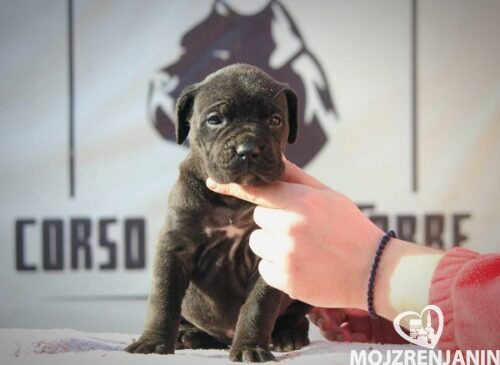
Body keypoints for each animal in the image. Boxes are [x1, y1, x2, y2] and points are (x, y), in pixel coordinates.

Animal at [126, 63, 308, 362]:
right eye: (214, 120)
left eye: (275, 120)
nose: (248, 149)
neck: (231, 199)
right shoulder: (174, 247)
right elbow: (163, 299)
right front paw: (152, 342)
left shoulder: (269, 254)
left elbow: (258, 306)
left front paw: (250, 347)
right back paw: (189, 336)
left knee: (296, 316)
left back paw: (288, 335)